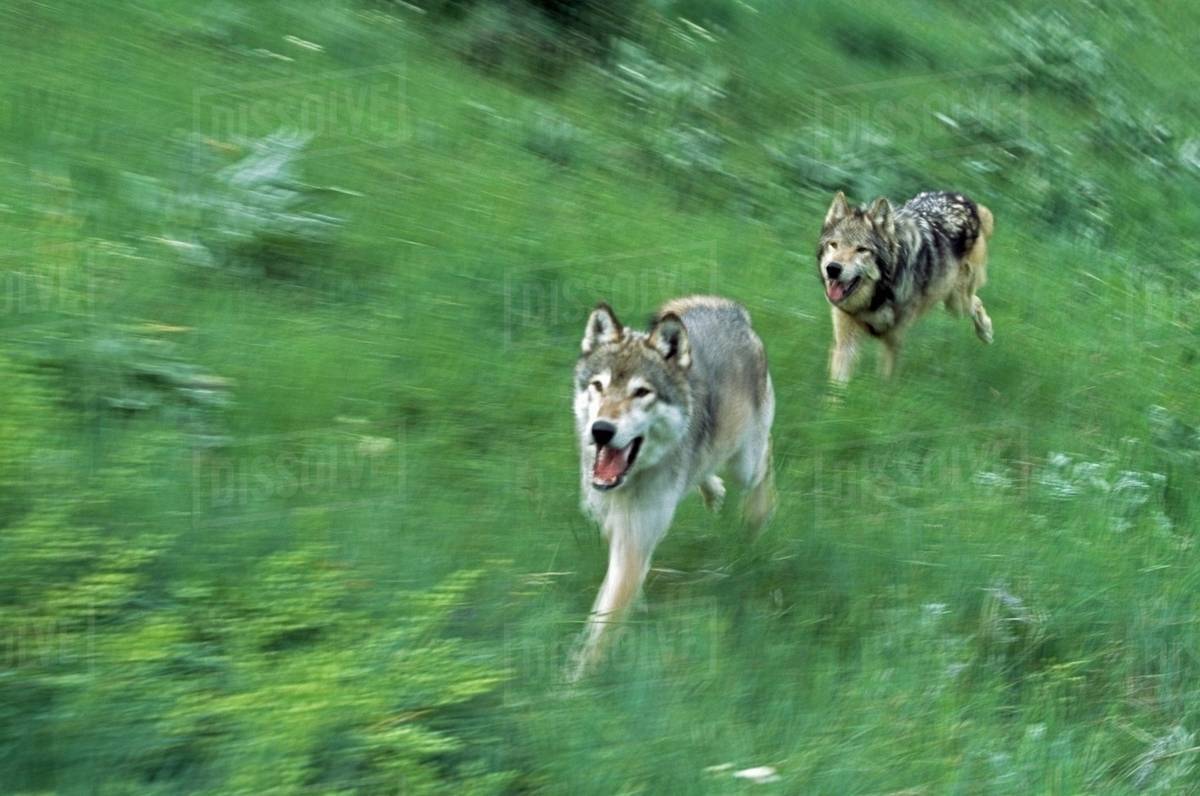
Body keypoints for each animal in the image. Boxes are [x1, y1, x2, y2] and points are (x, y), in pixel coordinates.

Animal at [570, 295, 775, 679]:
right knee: (706, 470)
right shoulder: (615, 527)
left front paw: (575, 683)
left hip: (745, 461)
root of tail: (728, 308)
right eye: (599, 386)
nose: (600, 430)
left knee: (764, 460)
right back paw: (714, 492)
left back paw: (757, 517)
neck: (631, 479)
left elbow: (602, 625)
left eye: (641, 392)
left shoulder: (634, 540)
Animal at [818, 190, 995, 384]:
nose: (833, 269)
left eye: (862, 250)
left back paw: (986, 332)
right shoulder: (845, 342)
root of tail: (967, 200)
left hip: (956, 303)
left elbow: (885, 382)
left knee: (976, 302)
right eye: (834, 245)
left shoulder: (893, 340)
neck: (876, 297)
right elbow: (838, 384)